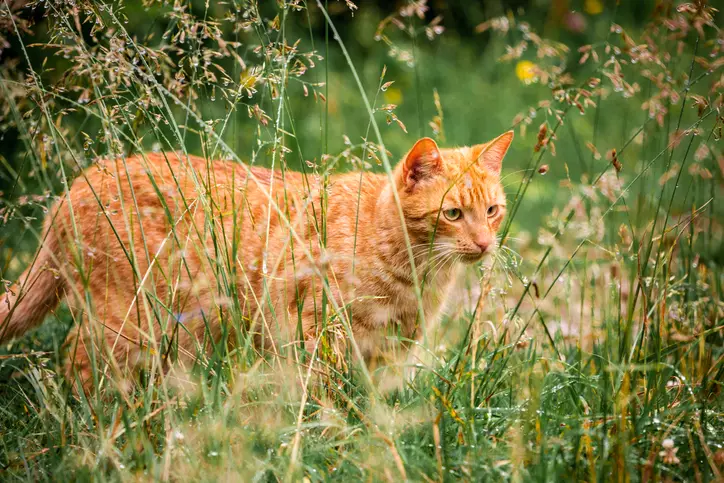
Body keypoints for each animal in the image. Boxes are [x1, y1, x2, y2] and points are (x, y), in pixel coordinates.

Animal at [0, 131, 516, 394]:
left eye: (492, 210)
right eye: (453, 214)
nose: (484, 244)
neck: (416, 273)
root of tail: (75, 184)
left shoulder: (388, 351)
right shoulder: (317, 334)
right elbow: (326, 400)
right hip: (129, 320)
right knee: (77, 360)